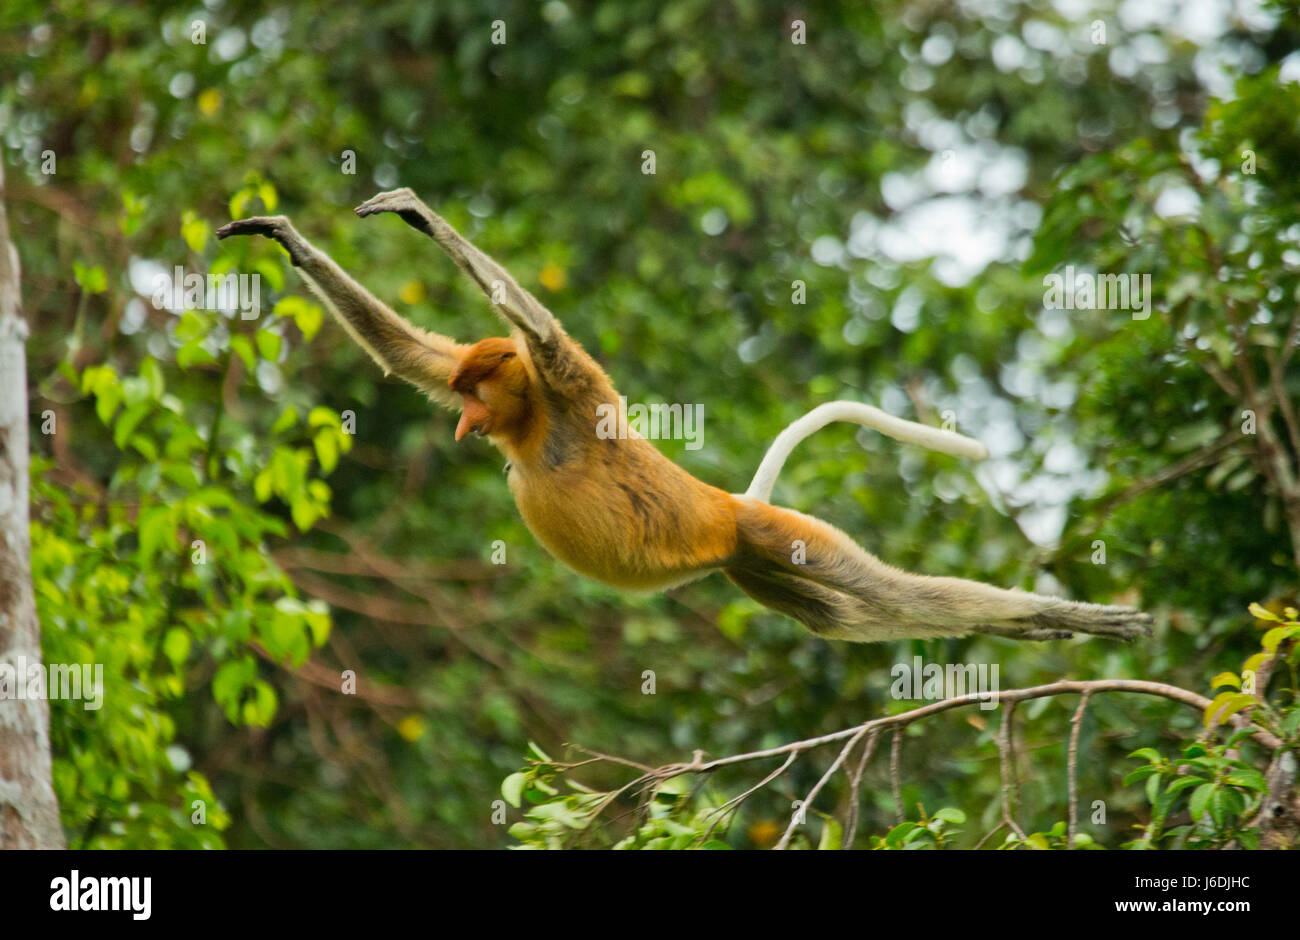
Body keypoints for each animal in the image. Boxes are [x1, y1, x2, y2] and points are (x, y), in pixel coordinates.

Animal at [215, 188, 1152, 644]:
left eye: (482, 394)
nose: (464, 423)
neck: (536, 425)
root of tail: (731, 507)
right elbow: (411, 354)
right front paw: (284, 236)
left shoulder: (577, 392)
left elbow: (538, 326)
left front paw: (415, 211)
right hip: (752, 561)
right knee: (843, 617)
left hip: (775, 533)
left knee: (890, 592)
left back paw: (1067, 619)